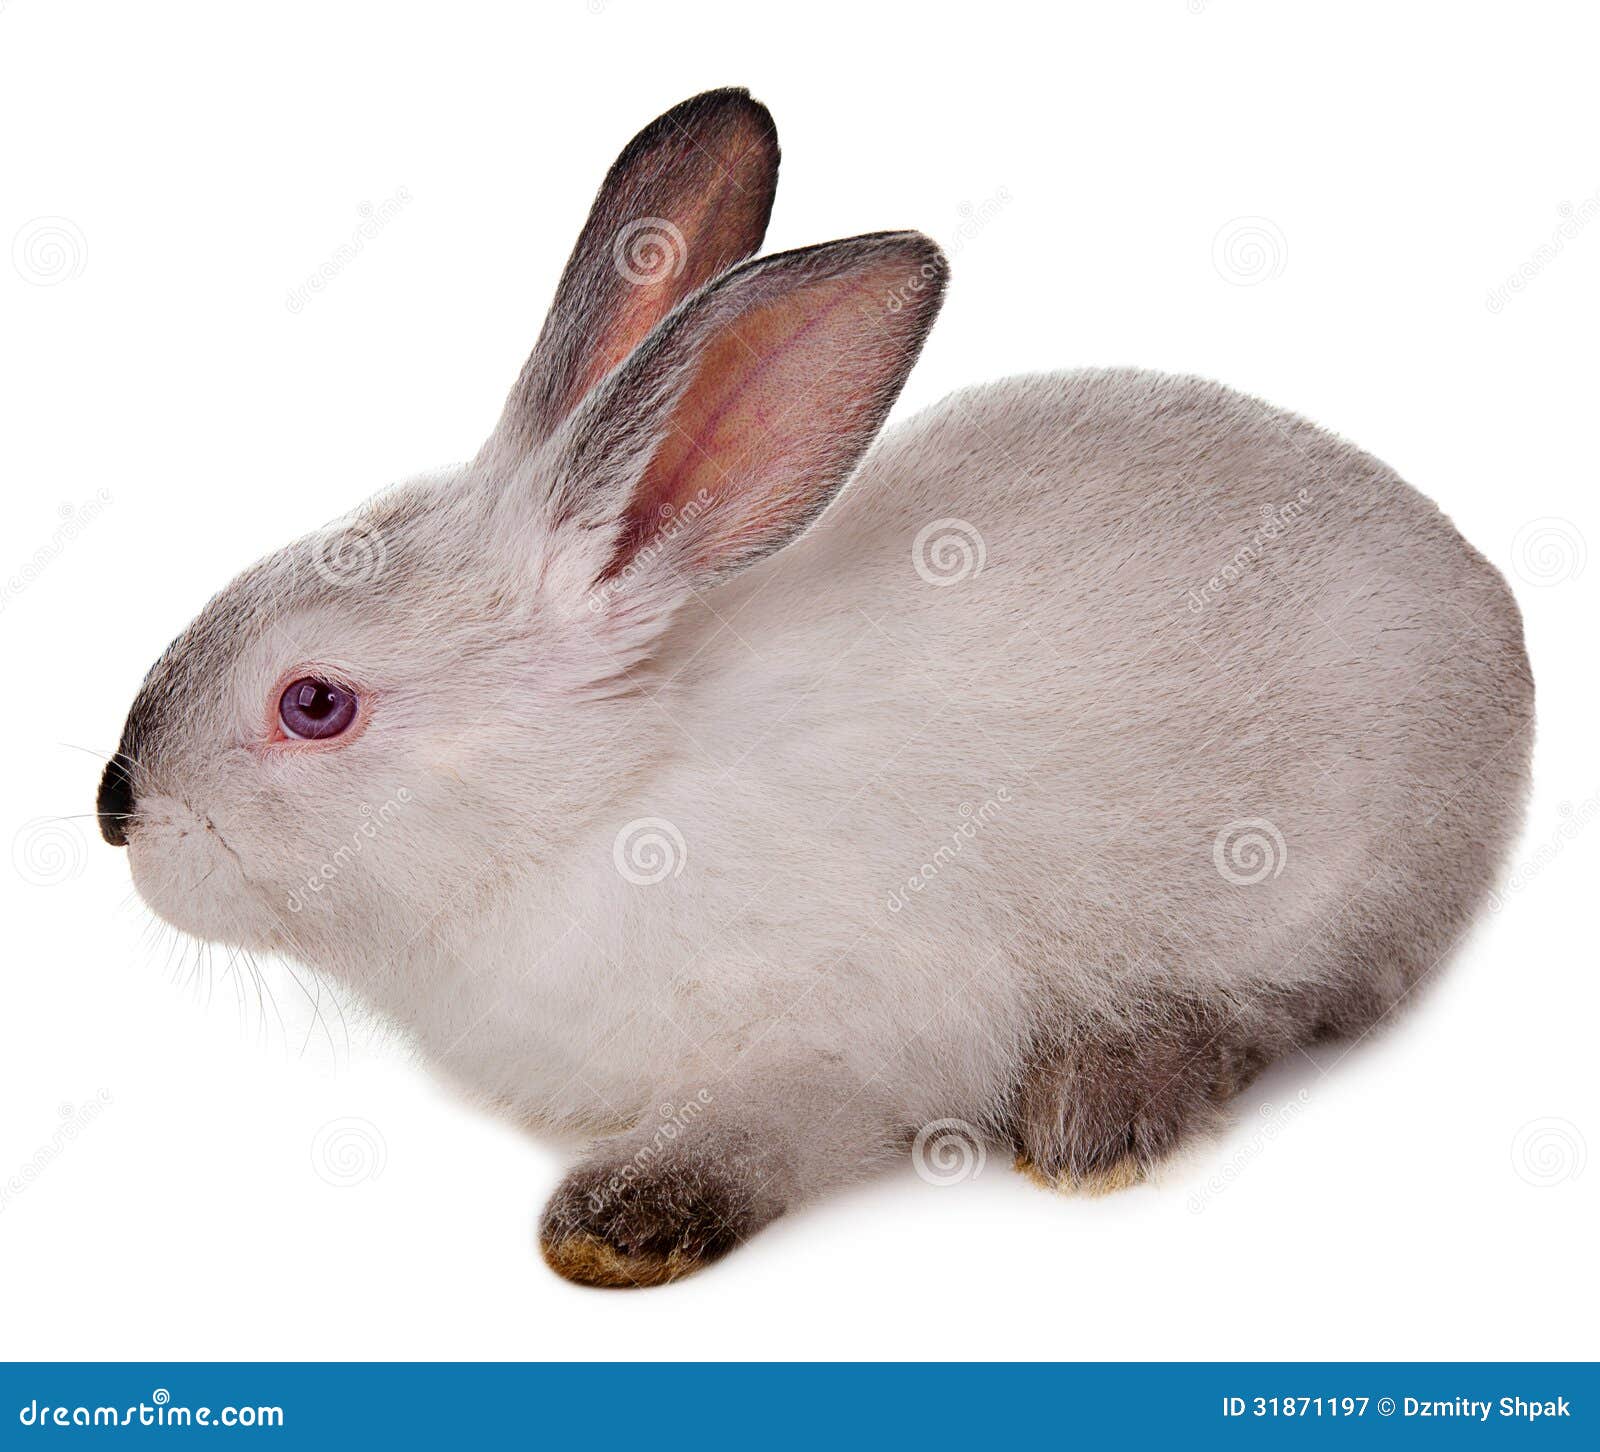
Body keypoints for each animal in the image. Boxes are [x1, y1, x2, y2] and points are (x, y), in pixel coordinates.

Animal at [98, 86, 1533, 1288]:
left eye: (315, 704)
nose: (120, 809)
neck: (600, 799)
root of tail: (1483, 599)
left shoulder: (846, 1039)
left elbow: (769, 1129)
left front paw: (617, 1227)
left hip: (1321, 884)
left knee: (1284, 1005)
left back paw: (1103, 1106)